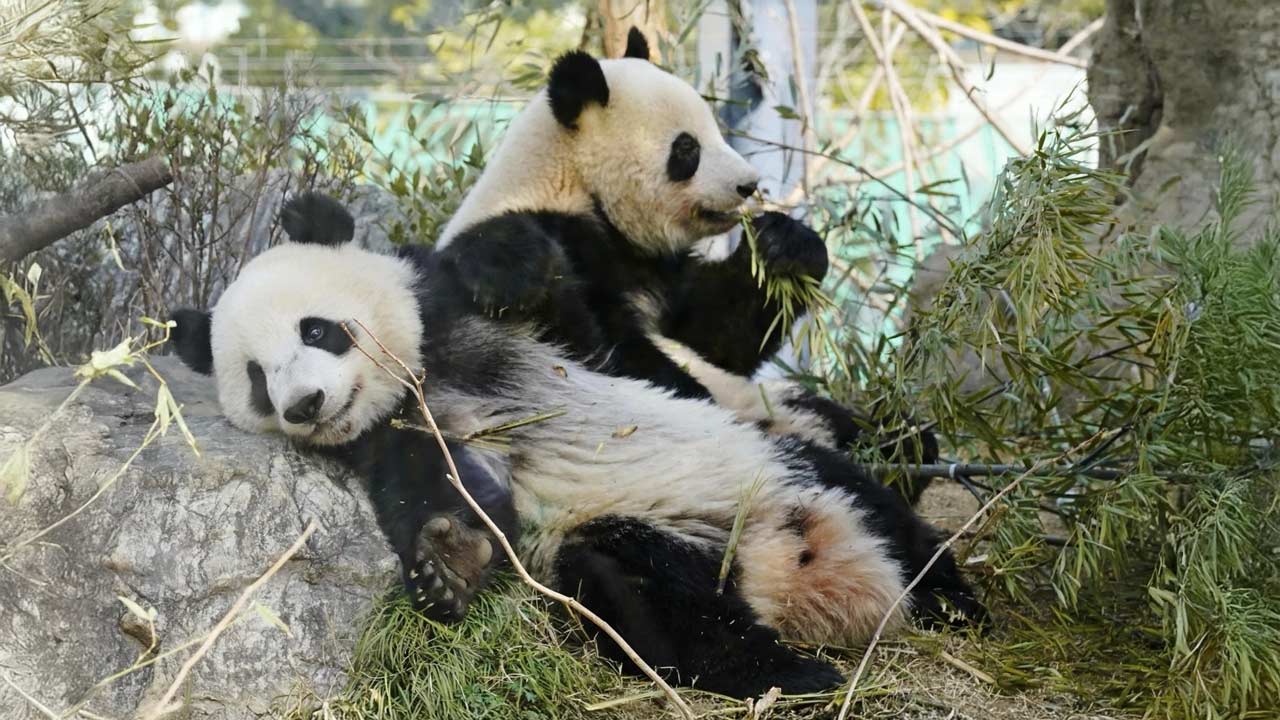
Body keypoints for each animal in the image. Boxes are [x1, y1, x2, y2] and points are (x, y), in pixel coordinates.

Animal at [169, 193, 985, 699]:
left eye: (316, 329)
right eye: (256, 378)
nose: (304, 405)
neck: (423, 378)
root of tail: (793, 573)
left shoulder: (496, 328)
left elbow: (606, 339)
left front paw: (503, 260)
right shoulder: (399, 436)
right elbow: (448, 491)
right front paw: (446, 562)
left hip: (778, 467)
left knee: (880, 510)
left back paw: (949, 605)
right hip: (649, 543)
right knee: (652, 600)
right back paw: (788, 674)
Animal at [432, 30, 938, 492]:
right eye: (687, 148)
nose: (748, 184)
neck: (575, 187)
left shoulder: (662, 268)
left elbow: (714, 336)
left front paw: (785, 246)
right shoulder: (558, 231)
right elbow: (588, 343)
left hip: (783, 402)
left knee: (852, 425)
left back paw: (903, 447)